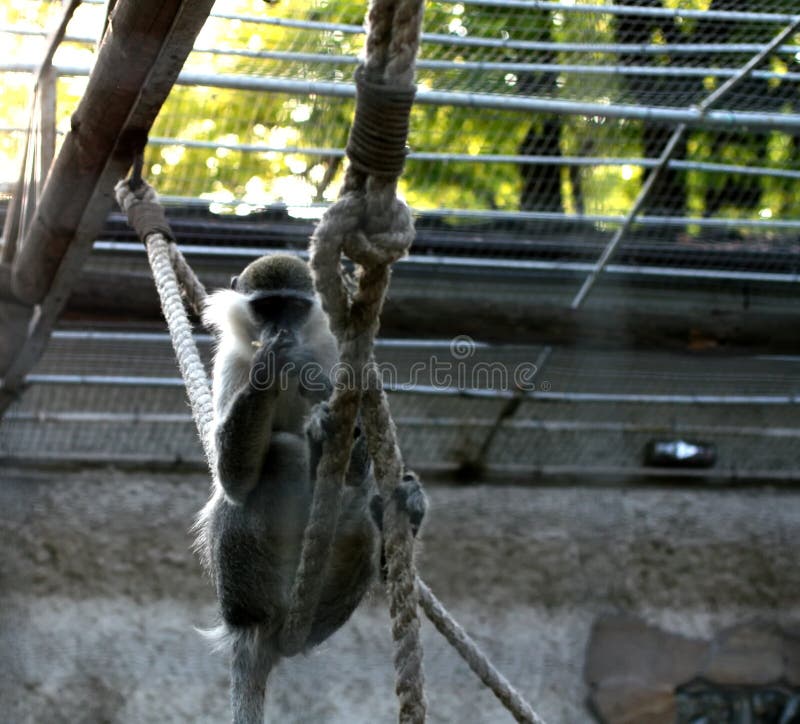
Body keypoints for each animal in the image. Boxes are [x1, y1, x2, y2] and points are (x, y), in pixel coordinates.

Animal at [194, 253, 426, 724]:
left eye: (294, 307)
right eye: (267, 307)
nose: (279, 330)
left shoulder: (337, 356)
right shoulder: (230, 361)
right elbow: (232, 477)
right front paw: (267, 365)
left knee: (360, 509)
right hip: (245, 587)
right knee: (274, 460)